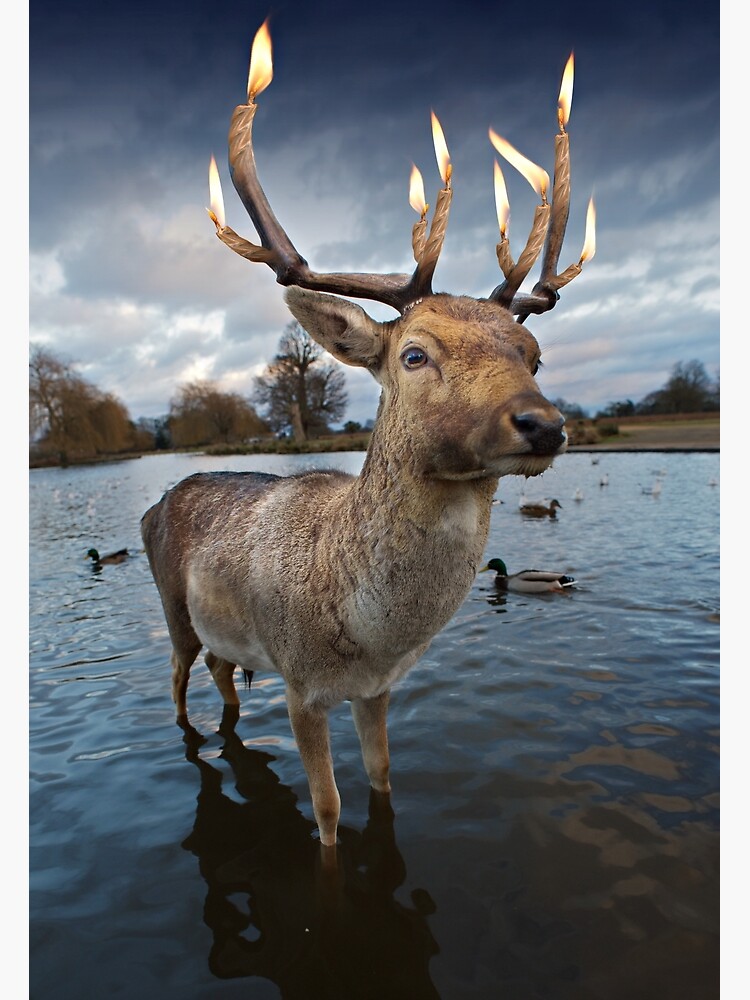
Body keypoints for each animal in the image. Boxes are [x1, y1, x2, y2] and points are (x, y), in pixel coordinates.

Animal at [141, 23, 595, 849]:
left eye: (534, 354)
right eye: (414, 354)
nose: (544, 424)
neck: (366, 635)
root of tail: (155, 503)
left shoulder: (379, 688)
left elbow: (384, 780)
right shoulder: (300, 684)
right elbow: (327, 811)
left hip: (223, 638)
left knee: (223, 681)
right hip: (172, 612)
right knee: (179, 684)